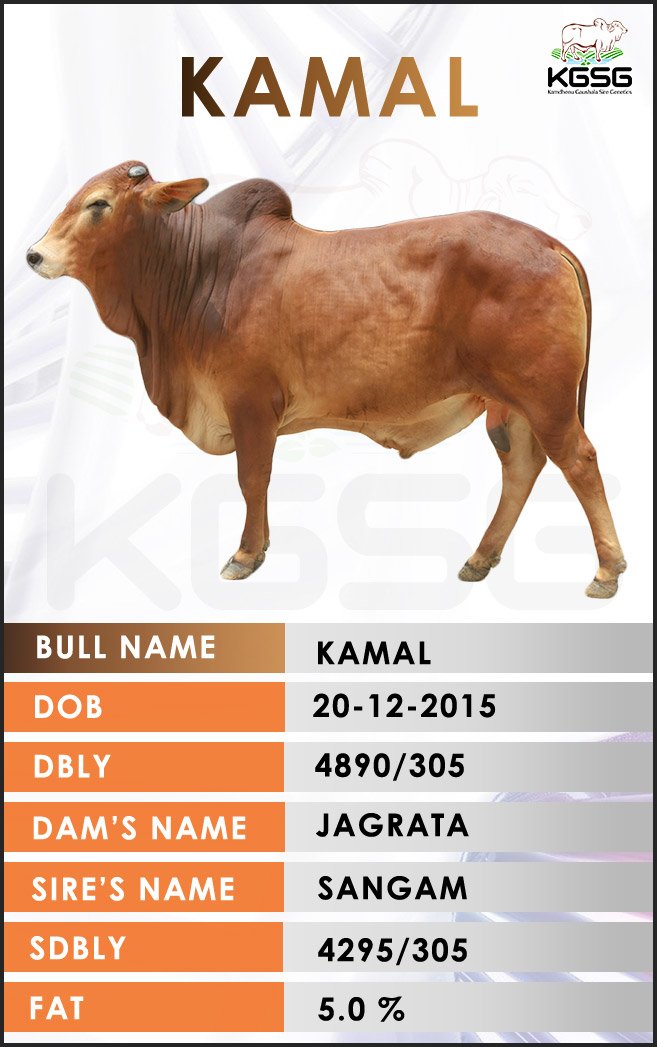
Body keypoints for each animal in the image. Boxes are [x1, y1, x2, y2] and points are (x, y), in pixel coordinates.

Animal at [26, 162, 626, 598]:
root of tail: (550, 244)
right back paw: (480, 559)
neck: (194, 272)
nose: (34, 255)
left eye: (99, 204)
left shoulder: (251, 404)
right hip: (513, 406)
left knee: (579, 461)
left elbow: (252, 479)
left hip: (546, 399)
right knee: (522, 468)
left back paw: (606, 570)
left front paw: (246, 555)